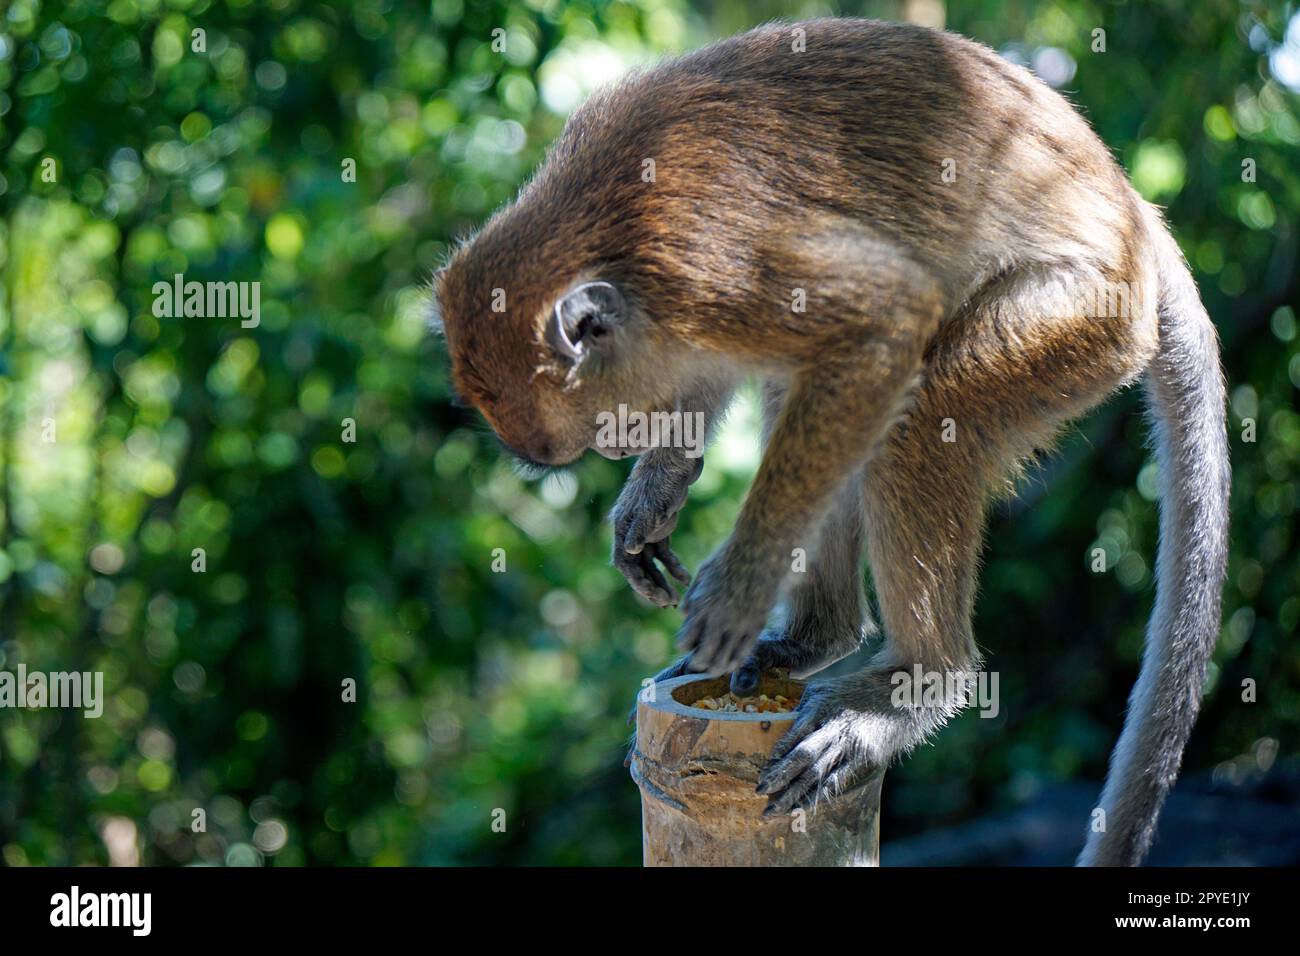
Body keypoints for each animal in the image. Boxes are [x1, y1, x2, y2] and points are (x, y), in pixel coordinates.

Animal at [432, 18, 1230, 866]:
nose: (619, 448)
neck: (601, 233)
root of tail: (1133, 211)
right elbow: (729, 373)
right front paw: (653, 497)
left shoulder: (707, 268)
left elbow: (885, 319)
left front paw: (737, 589)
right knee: (818, 396)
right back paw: (818, 638)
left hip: (1087, 312)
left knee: (919, 416)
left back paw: (919, 683)